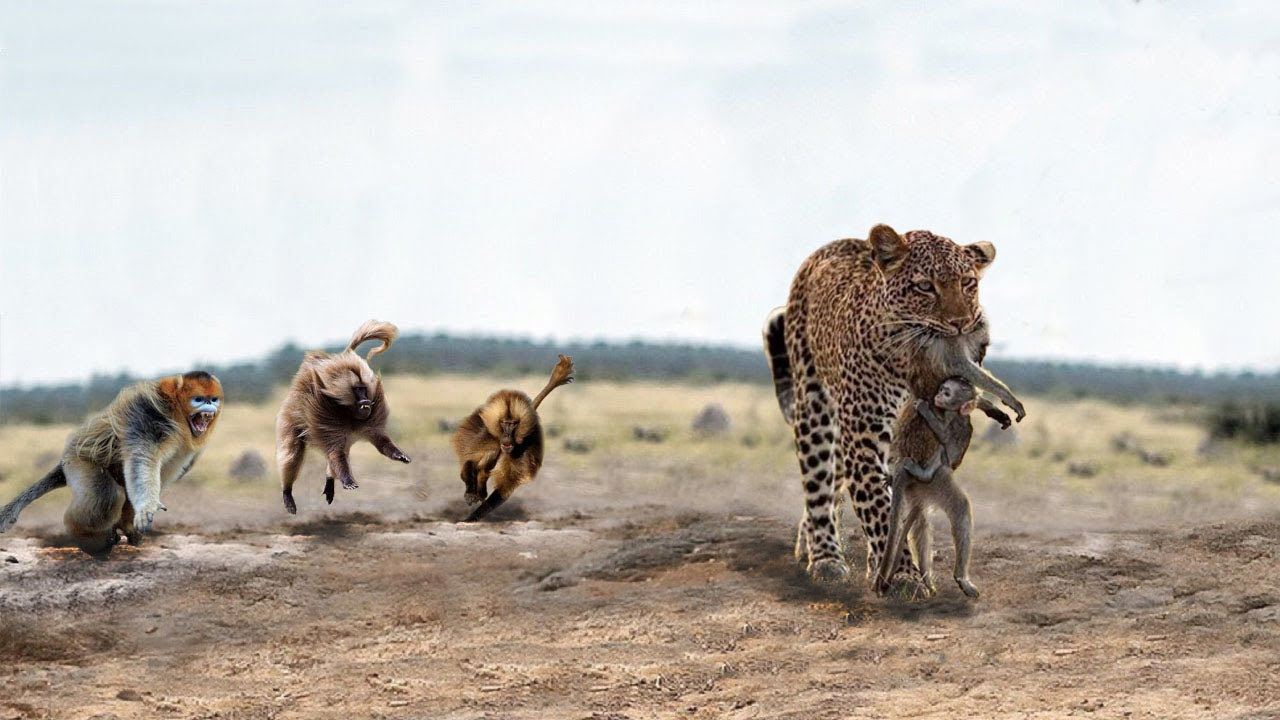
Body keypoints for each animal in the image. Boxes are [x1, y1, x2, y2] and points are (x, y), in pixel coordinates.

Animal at [763, 223, 1005, 586]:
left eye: (968, 284)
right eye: (925, 287)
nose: (961, 322)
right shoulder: (864, 436)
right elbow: (878, 506)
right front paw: (902, 573)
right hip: (815, 406)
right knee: (818, 484)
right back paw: (825, 557)